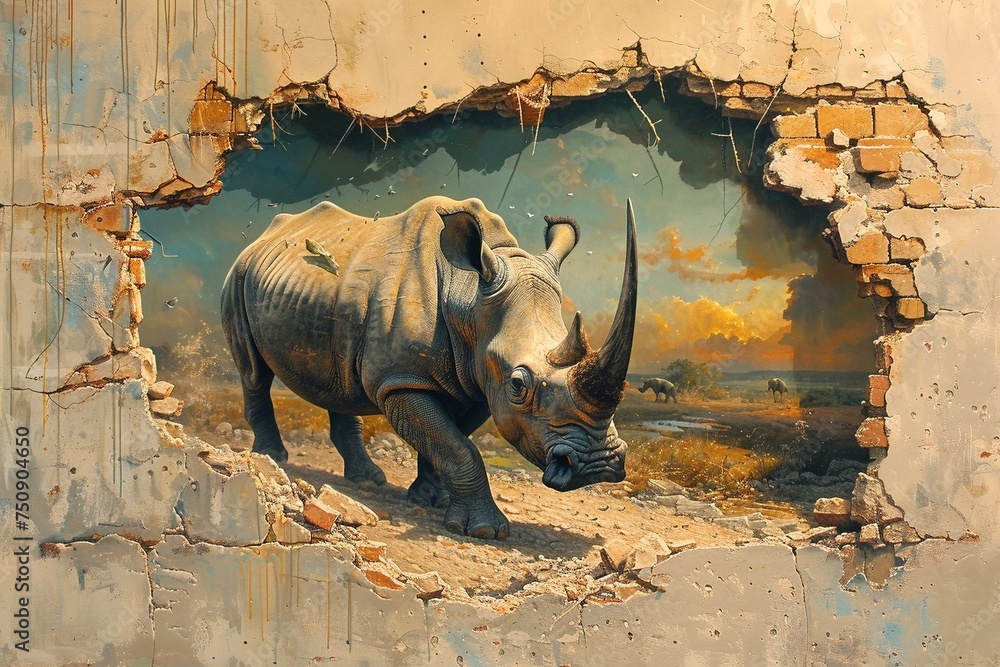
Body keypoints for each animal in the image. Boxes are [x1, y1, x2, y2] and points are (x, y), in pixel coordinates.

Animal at [221, 195, 638, 539]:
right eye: (518, 384)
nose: (597, 467)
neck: (468, 296)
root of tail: (264, 236)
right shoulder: (402, 381)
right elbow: (459, 448)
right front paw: (484, 531)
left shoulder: (476, 382)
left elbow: (450, 441)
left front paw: (429, 498)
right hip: (238, 276)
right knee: (253, 373)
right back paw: (272, 458)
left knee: (338, 381)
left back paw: (367, 482)